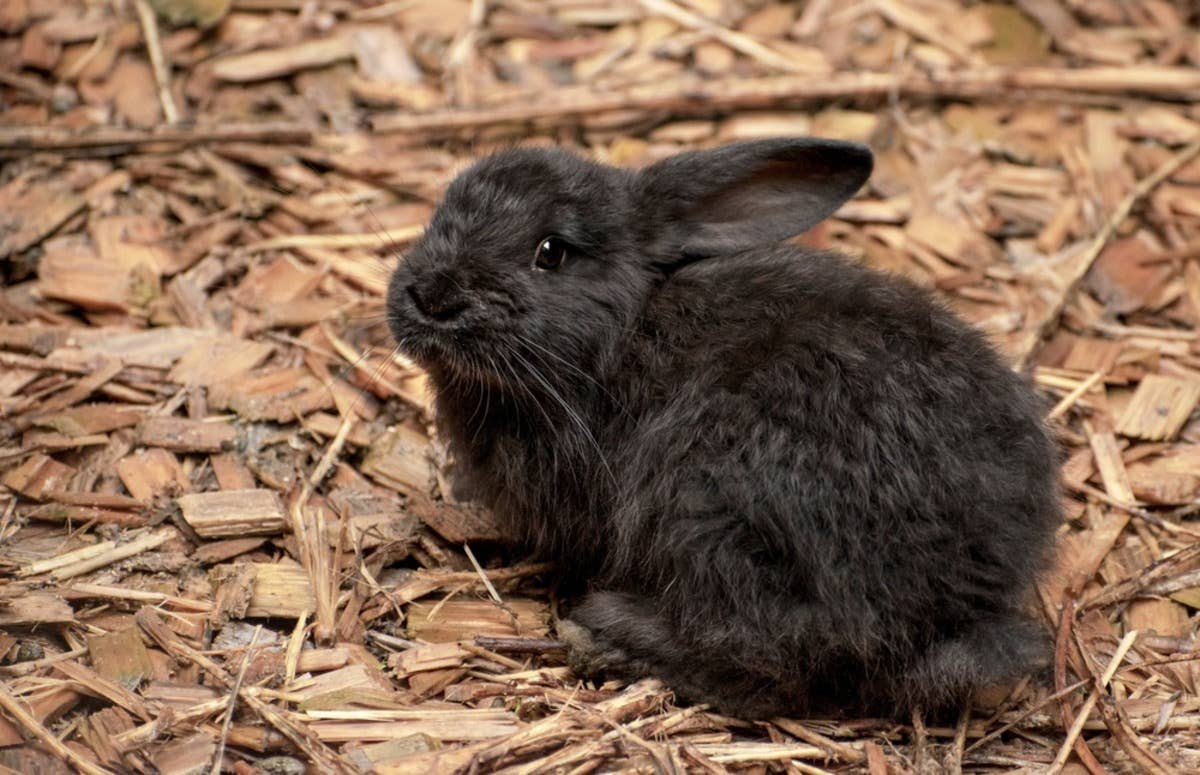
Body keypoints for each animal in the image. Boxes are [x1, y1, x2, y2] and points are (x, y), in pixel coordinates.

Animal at [385, 138, 1060, 718]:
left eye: (551, 252)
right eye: (444, 210)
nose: (433, 296)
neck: (619, 334)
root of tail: (959, 606)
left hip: (708, 511)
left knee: (773, 658)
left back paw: (606, 633)